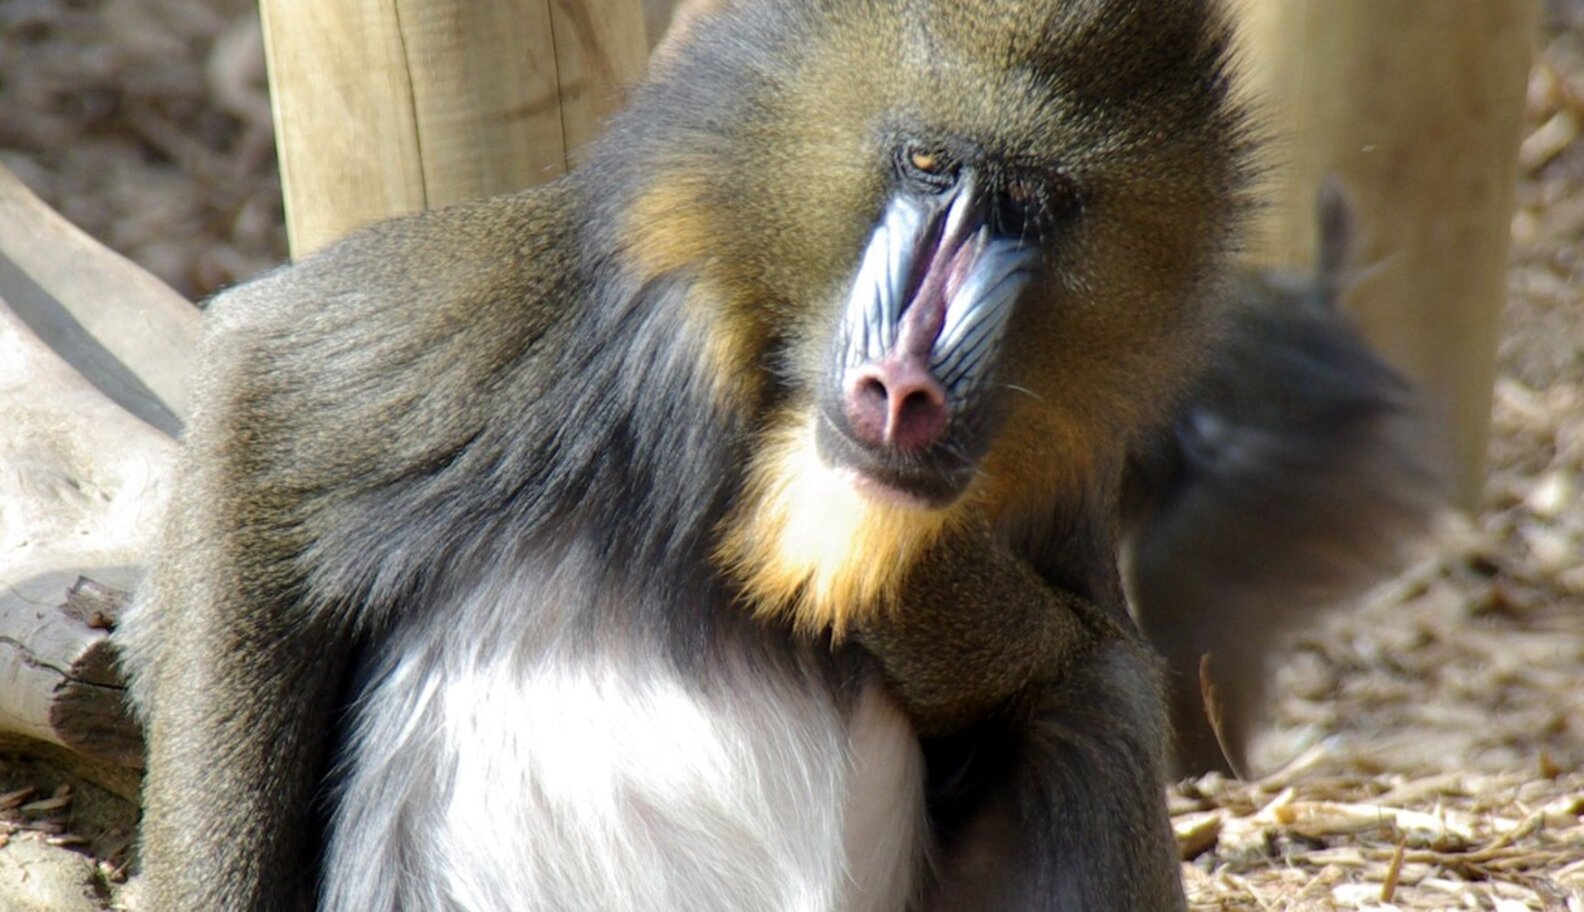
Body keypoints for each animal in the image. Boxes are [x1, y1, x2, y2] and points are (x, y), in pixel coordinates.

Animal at [118, 1, 1251, 909]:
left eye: (1033, 204)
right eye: (930, 166)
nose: (906, 384)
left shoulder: (1070, 480)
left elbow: (1090, 649)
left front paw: (925, 604)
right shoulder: (572, 325)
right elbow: (265, 400)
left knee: (1097, 701)